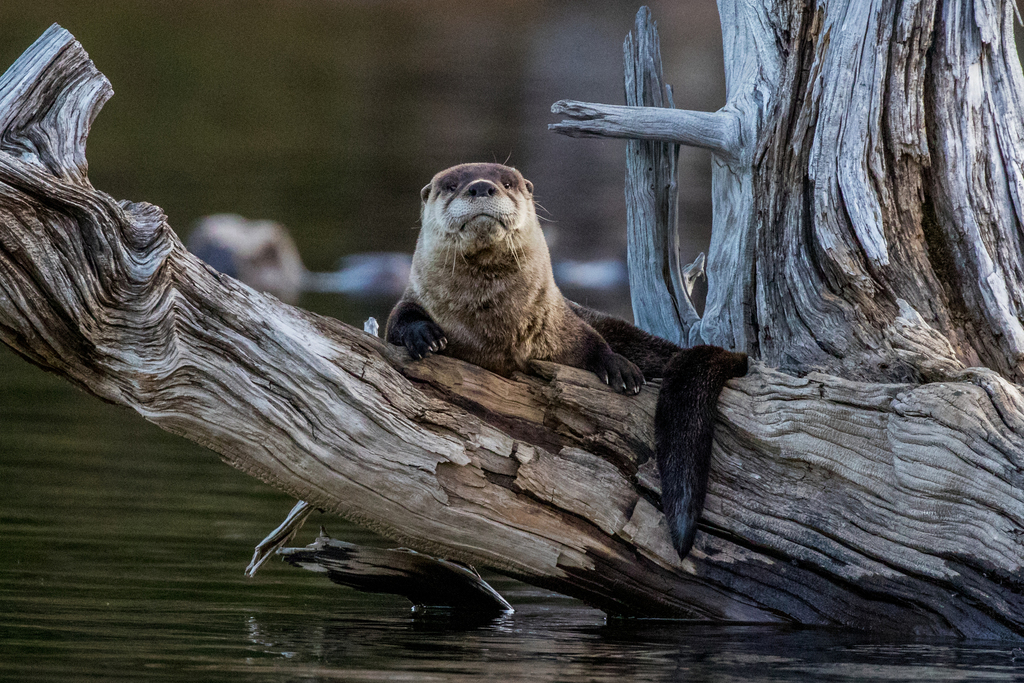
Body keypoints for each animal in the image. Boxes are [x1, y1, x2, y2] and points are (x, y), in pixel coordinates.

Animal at [386, 163, 747, 560]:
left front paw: (620, 369)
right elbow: (398, 319)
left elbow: (592, 340)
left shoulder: (558, 320)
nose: (481, 187)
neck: (493, 330)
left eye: (508, 182)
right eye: (451, 186)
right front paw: (424, 336)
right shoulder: (414, 298)